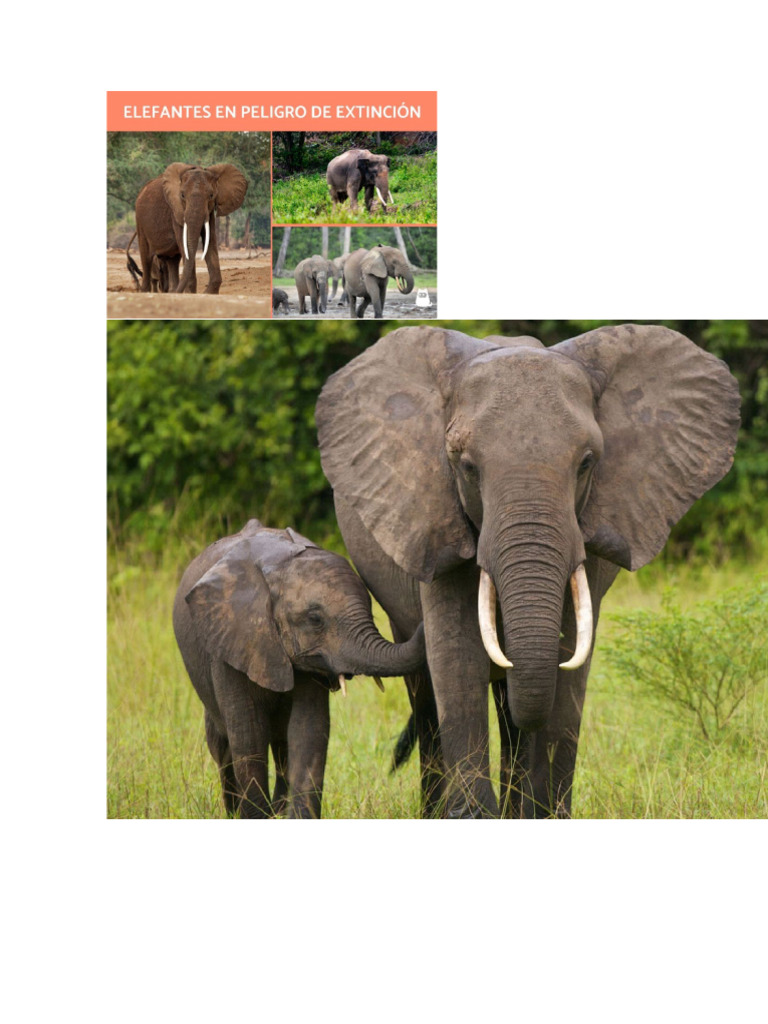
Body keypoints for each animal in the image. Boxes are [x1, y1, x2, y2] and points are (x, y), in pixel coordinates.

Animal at [132, 162, 247, 295]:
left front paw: (209, 293)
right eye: (182, 195)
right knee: (146, 257)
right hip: (140, 222)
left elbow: (210, 241)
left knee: (173, 260)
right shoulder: (176, 211)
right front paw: (192, 293)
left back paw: (173, 290)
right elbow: (185, 243)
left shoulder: (209, 213)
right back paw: (147, 291)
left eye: (211, 195)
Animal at [172, 518, 426, 818]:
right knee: (222, 746)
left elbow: (308, 730)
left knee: (282, 743)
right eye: (315, 619)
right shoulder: (230, 643)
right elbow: (249, 736)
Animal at [316, 325, 740, 818]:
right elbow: (456, 658)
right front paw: (474, 817)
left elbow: (569, 666)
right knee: (426, 695)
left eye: (587, 463)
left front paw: (544, 814)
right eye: (466, 466)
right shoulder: (434, 516)